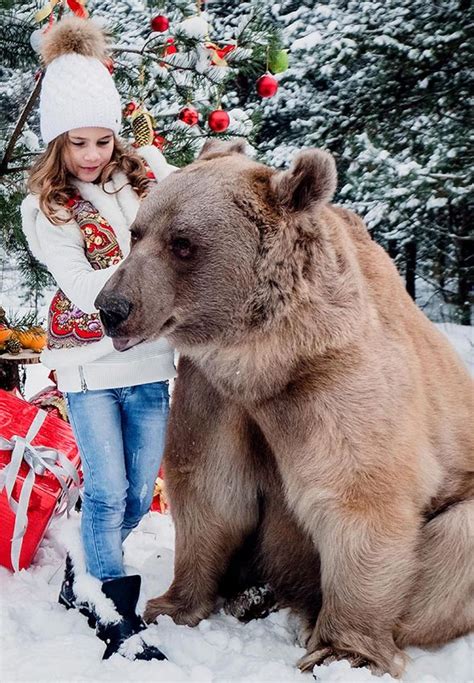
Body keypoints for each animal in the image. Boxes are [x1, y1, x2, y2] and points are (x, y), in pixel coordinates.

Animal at [95, 140, 474, 678]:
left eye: (183, 243)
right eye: (137, 232)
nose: (112, 308)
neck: (265, 361)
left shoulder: (334, 385)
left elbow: (360, 498)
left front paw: (343, 651)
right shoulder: (216, 395)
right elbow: (211, 489)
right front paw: (170, 603)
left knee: (451, 550)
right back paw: (253, 594)